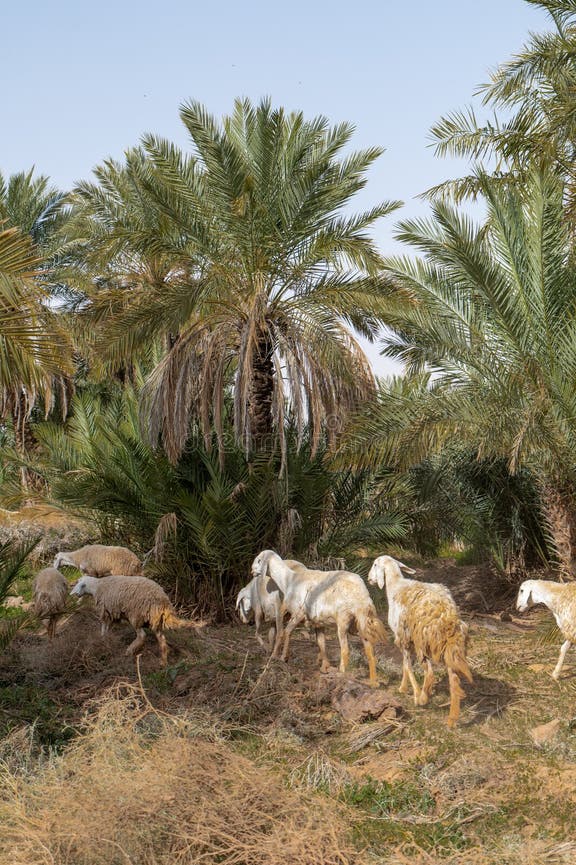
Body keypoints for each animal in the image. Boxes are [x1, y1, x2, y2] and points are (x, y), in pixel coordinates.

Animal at [70, 574, 205, 666]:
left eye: (80, 585)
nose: (75, 595)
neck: (97, 586)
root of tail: (163, 601)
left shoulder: (106, 610)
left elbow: (104, 626)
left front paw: (102, 639)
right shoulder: (113, 614)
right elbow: (109, 627)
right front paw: (106, 639)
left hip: (136, 615)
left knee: (142, 635)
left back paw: (130, 651)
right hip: (154, 618)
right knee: (161, 638)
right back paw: (163, 661)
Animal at [251, 550, 387, 686]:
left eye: (259, 560)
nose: (251, 571)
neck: (288, 580)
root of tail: (363, 596)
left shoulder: (299, 613)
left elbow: (287, 632)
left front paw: (283, 657)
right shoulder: (318, 622)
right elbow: (321, 643)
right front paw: (324, 667)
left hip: (343, 619)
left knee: (345, 650)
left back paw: (341, 674)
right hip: (360, 622)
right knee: (370, 651)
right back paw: (373, 682)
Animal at [368, 555, 472, 728]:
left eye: (375, 564)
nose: (369, 579)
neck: (395, 585)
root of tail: (446, 618)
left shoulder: (402, 637)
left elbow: (407, 666)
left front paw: (413, 693)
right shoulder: (406, 640)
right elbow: (405, 665)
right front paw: (404, 688)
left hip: (422, 642)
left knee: (429, 673)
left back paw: (423, 698)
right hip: (449, 649)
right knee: (454, 681)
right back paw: (452, 719)